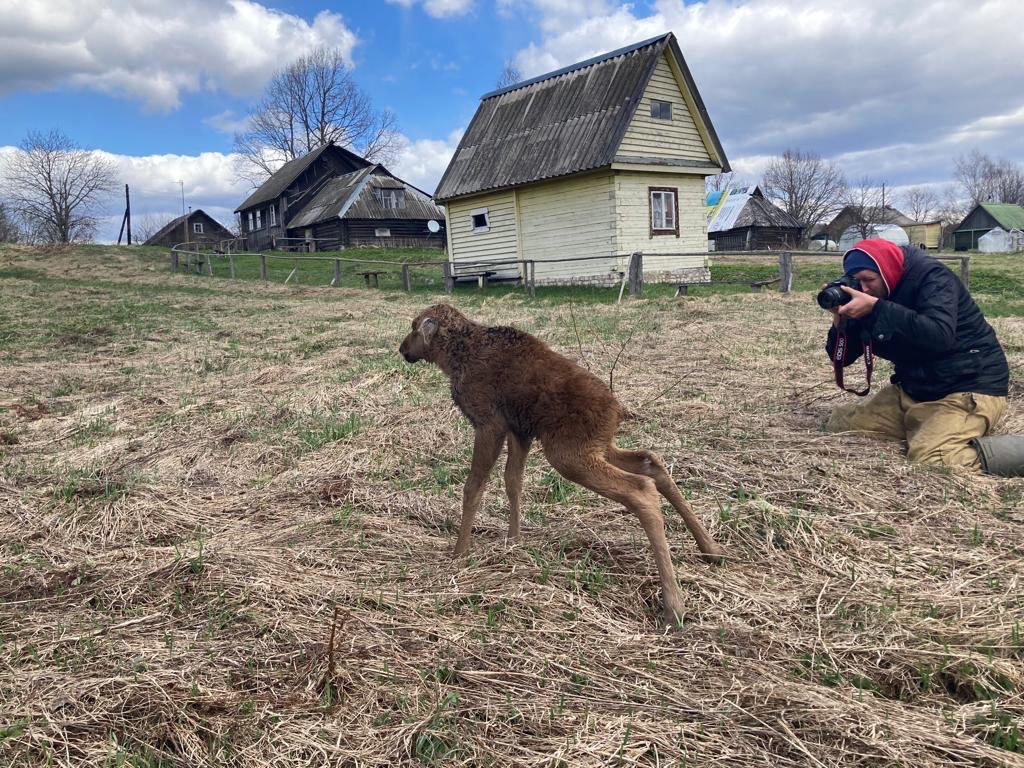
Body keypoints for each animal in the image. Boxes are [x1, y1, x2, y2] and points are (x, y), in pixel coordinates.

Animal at [395, 303, 724, 622]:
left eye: (414, 328)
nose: (402, 349)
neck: (456, 357)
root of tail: (618, 411)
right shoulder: (520, 431)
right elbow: (513, 482)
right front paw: (514, 541)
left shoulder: (489, 424)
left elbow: (474, 487)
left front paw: (459, 553)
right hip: (597, 447)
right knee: (651, 462)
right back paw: (711, 550)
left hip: (567, 454)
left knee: (641, 489)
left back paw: (673, 605)